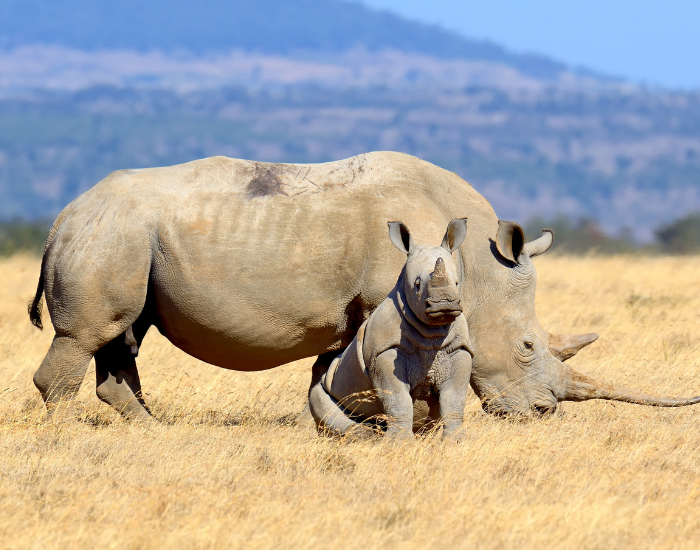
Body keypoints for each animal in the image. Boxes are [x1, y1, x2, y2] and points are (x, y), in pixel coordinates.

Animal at [310, 218, 473, 439]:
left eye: (456, 283)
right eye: (417, 284)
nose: (444, 304)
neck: (433, 330)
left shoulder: (459, 349)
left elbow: (454, 399)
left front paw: (456, 441)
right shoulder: (383, 351)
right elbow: (397, 399)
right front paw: (400, 442)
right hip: (327, 383)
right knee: (321, 400)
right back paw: (366, 436)